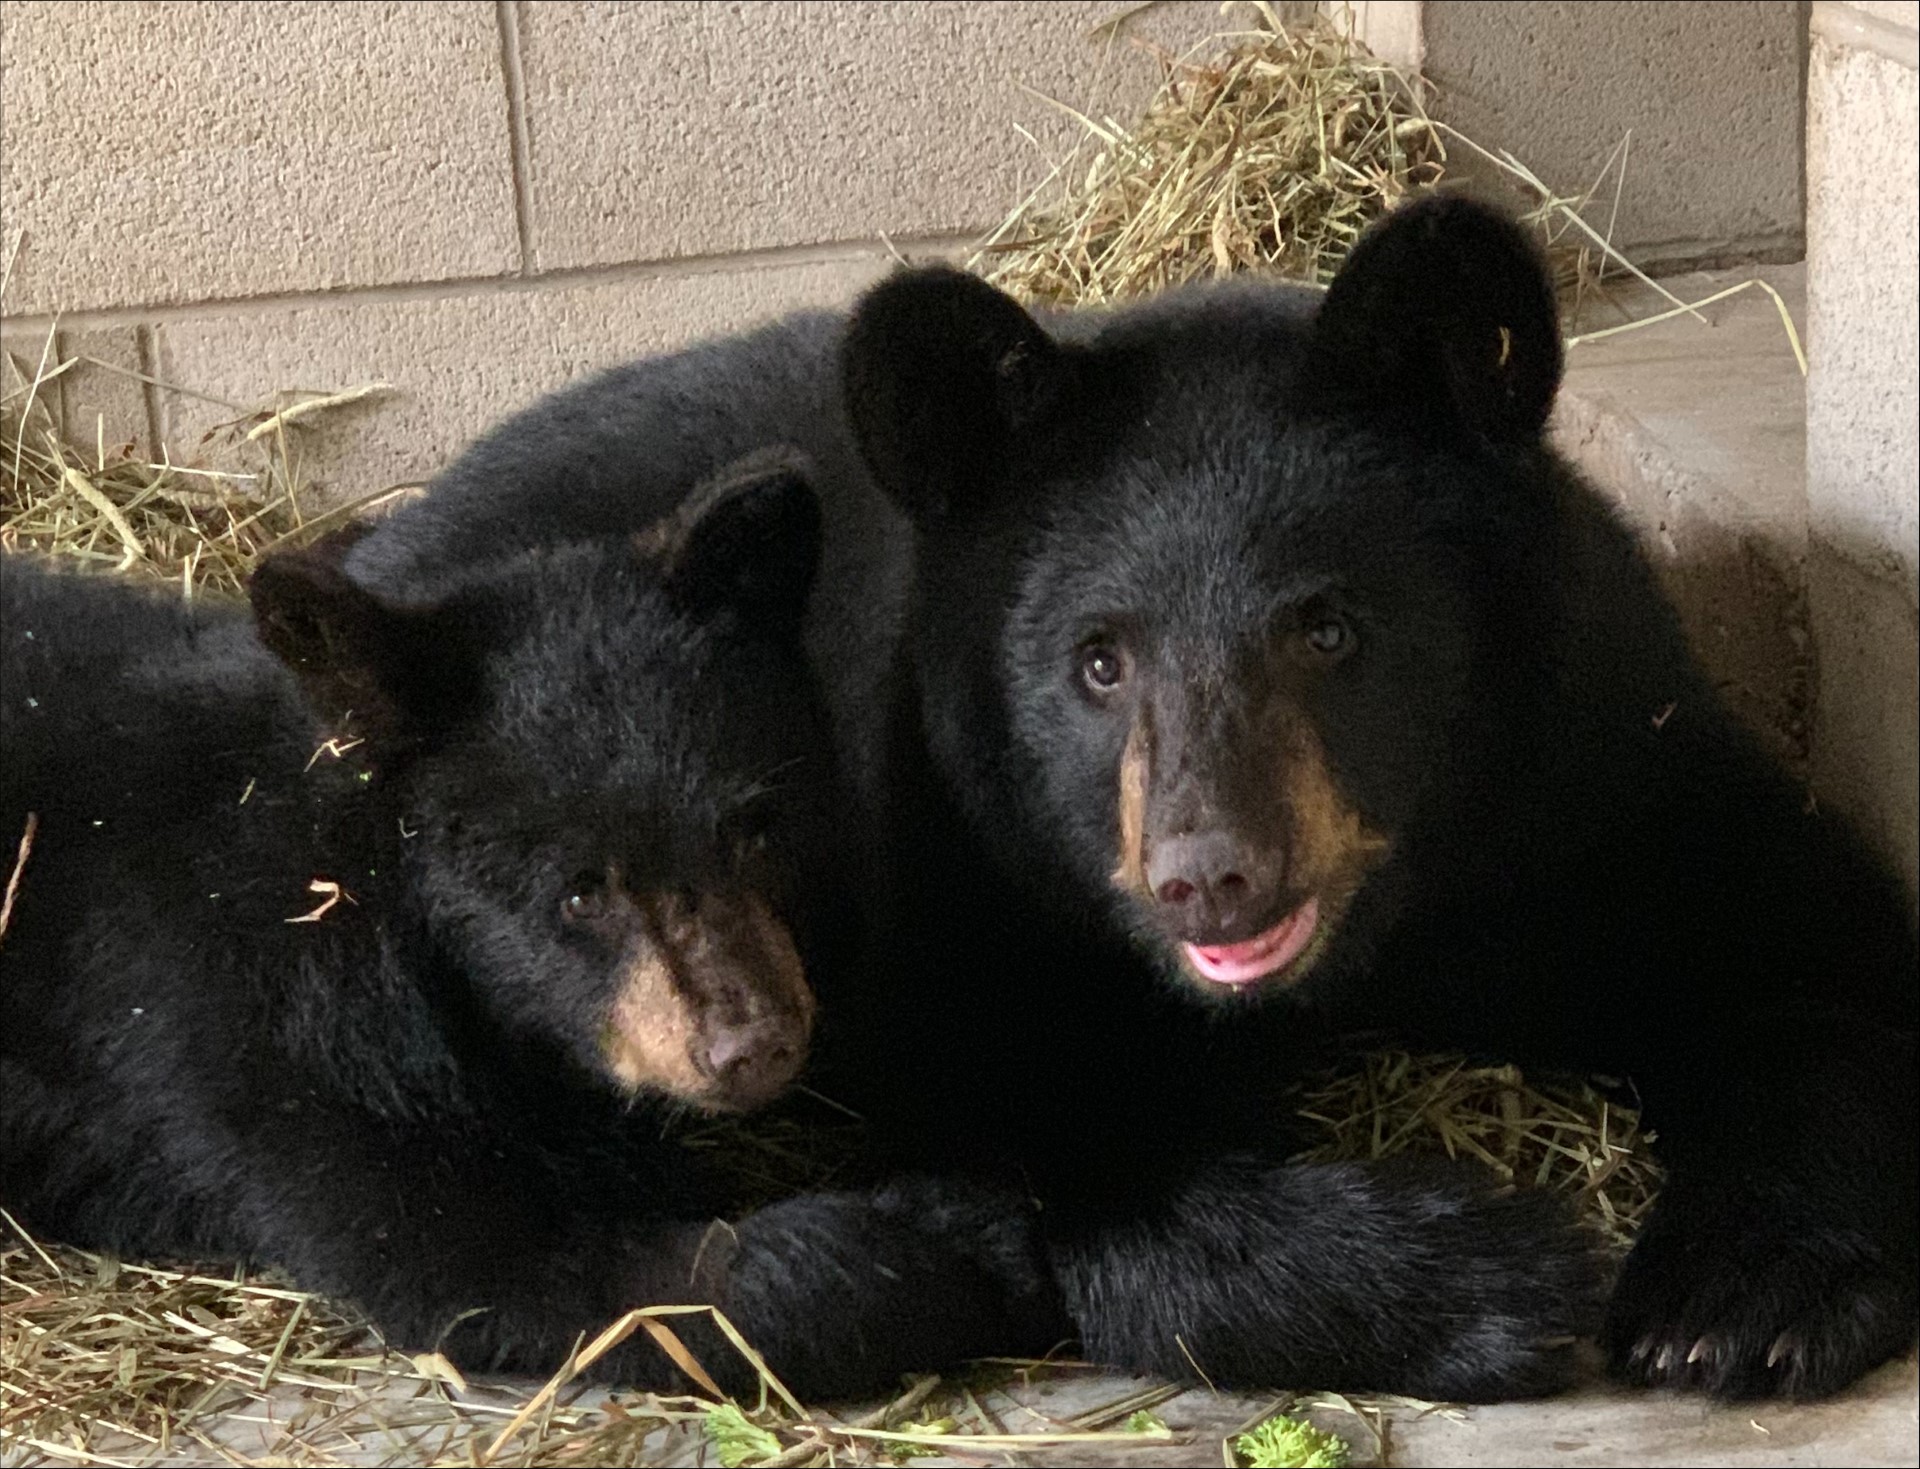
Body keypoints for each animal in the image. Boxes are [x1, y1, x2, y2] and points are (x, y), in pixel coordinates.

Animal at [0, 458, 1064, 1400]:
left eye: (755, 827)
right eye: (580, 892)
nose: (751, 1044)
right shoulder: (259, 1027)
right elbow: (513, 1266)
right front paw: (960, 1242)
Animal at [344, 195, 1916, 1402]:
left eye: (1327, 626)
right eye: (1099, 659)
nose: (1210, 873)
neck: (1380, 928)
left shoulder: (1589, 770)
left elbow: (1796, 940)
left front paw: (1740, 1297)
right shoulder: (981, 867)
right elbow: (1057, 1159)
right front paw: (1495, 1268)